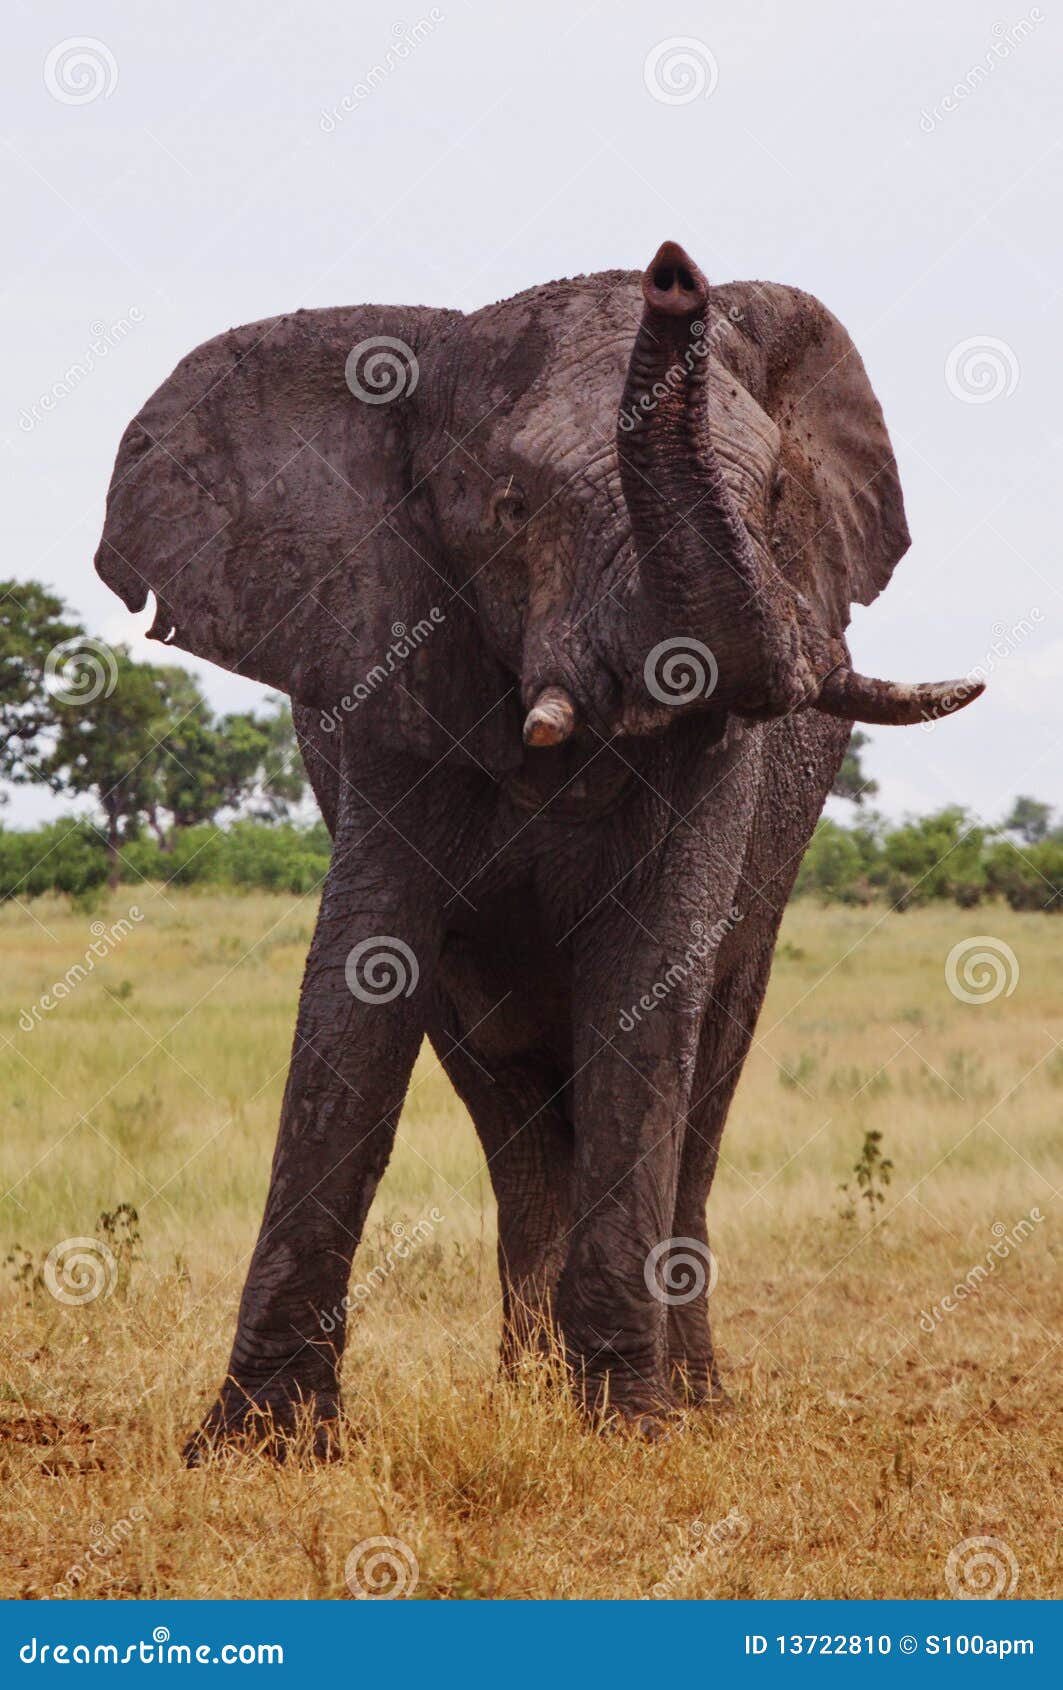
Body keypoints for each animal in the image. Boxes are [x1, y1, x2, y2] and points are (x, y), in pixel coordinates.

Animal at [94, 240, 982, 1452]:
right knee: (504, 1100)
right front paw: (253, 1447)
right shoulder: (383, 686)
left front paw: (631, 1429)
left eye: (775, 496)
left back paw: (687, 1398)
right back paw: (526, 1385)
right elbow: (363, 984)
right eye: (511, 507)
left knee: (707, 1075)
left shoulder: (725, 762)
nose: (672, 271)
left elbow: (651, 985)